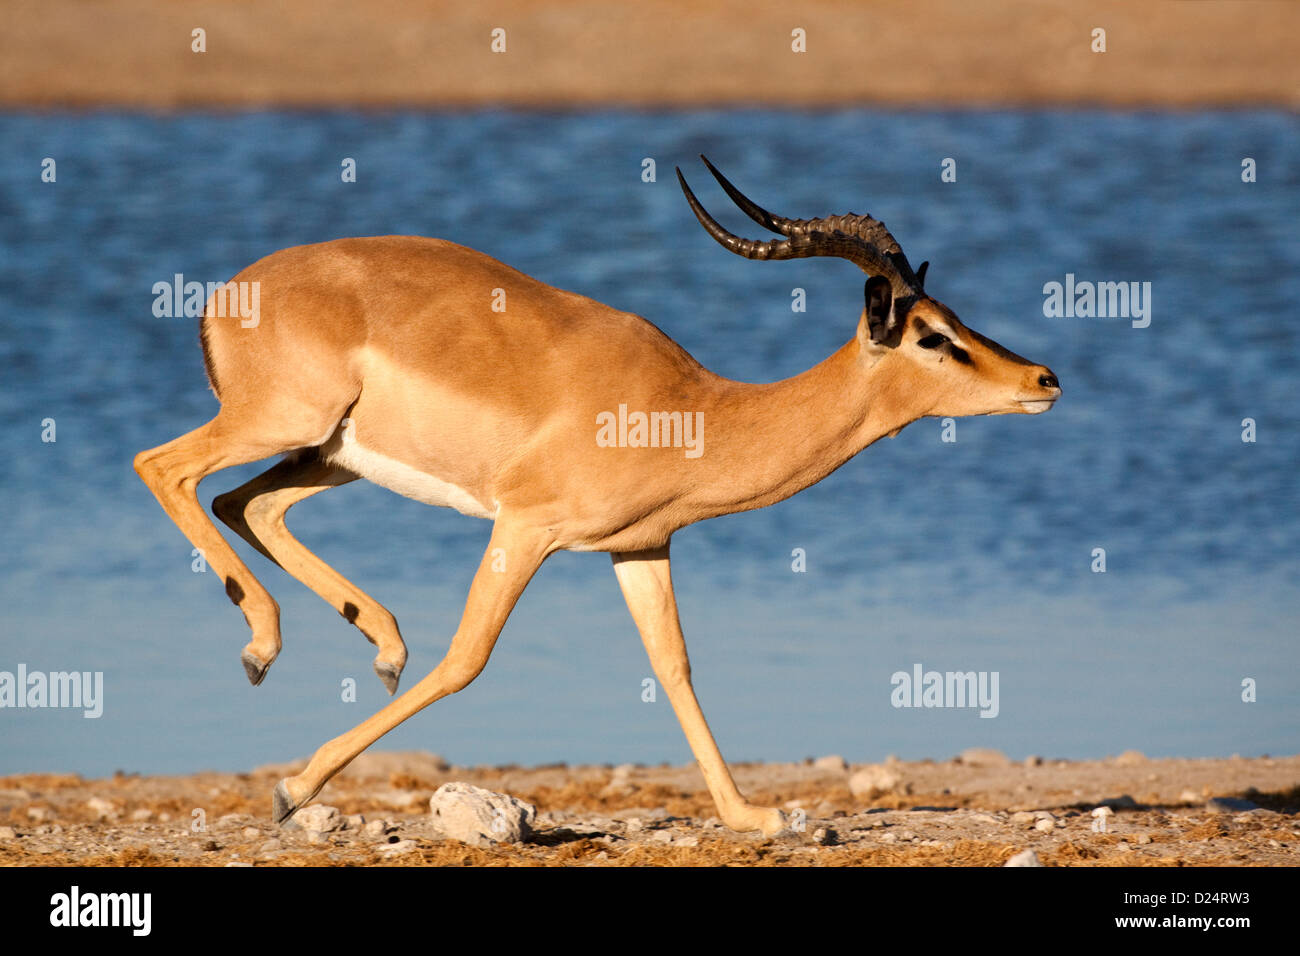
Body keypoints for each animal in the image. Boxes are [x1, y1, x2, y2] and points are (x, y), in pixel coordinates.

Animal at [134, 157, 1060, 836]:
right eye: (933, 336)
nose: (1043, 379)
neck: (691, 411)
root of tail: (224, 295)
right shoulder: (525, 526)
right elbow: (467, 657)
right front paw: (293, 789)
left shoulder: (639, 547)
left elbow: (675, 665)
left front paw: (756, 817)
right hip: (282, 424)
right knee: (164, 467)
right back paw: (269, 650)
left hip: (330, 454)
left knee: (247, 505)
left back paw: (372, 646)